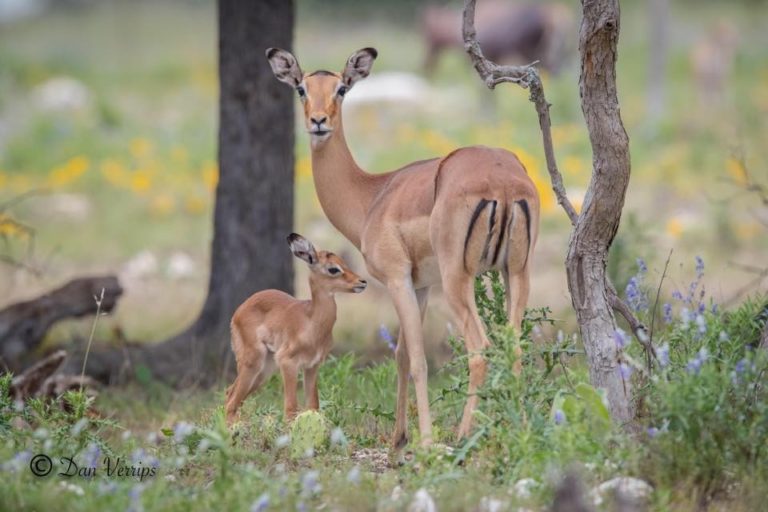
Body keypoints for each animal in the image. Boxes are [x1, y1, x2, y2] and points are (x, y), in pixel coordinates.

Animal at [225, 233, 367, 425]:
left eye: (344, 262)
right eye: (333, 269)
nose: (362, 282)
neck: (312, 323)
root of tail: (238, 311)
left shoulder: (312, 366)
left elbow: (313, 405)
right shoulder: (288, 363)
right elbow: (291, 408)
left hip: (264, 371)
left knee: (230, 394)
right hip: (252, 362)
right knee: (231, 402)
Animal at [266, 47, 540, 450]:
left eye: (342, 88)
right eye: (301, 88)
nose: (318, 122)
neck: (373, 195)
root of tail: (503, 182)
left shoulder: (397, 279)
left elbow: (418, 359)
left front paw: (423, 440)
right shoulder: (421, 284)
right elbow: (402, 357)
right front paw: (399, 437)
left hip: (458, 281)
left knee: (480, 348)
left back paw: (463, 437)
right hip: (516, 272)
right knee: (515, 346)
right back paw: (521, 432)